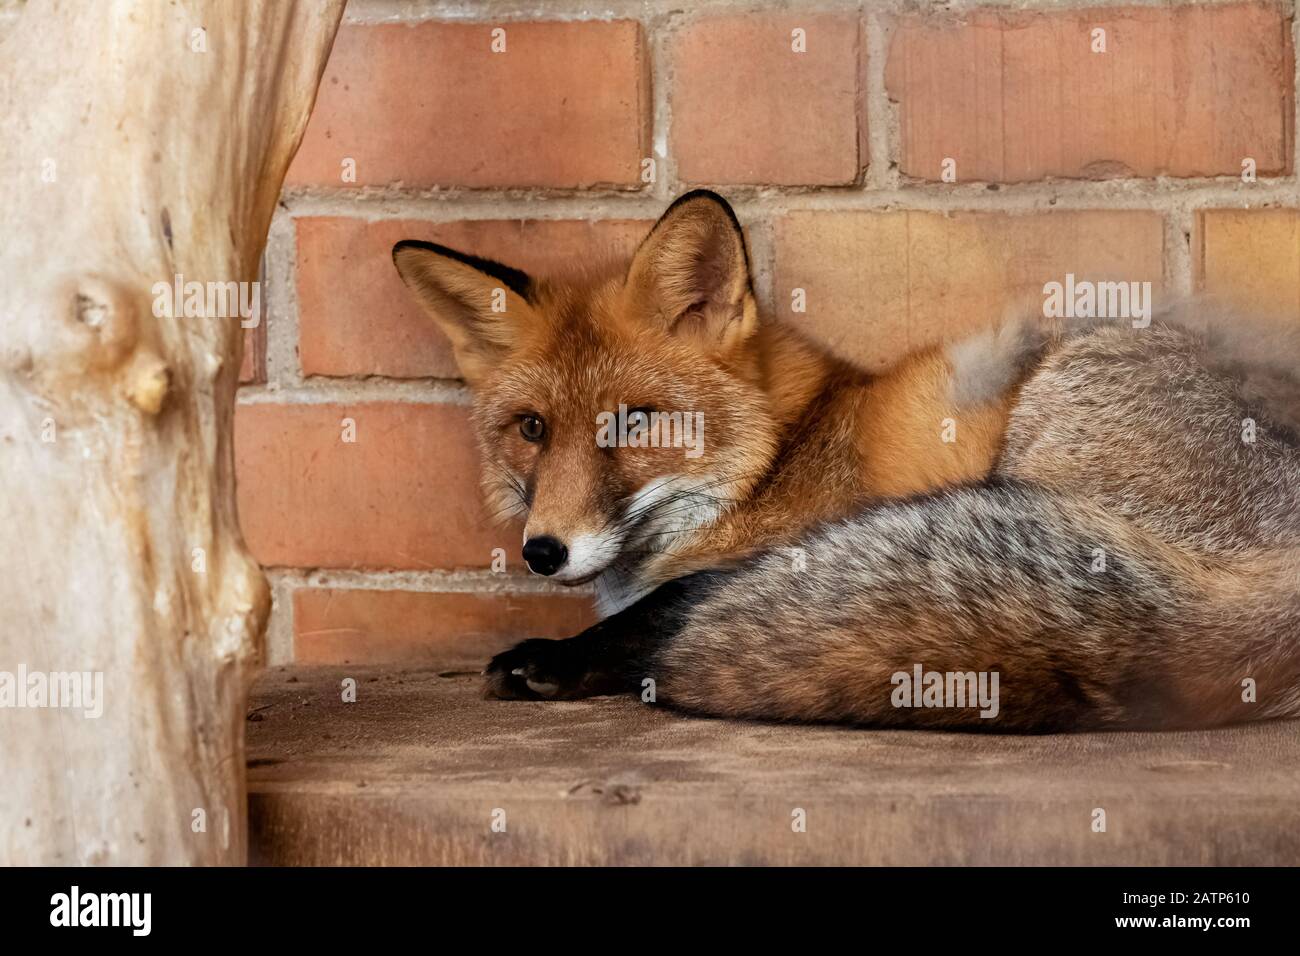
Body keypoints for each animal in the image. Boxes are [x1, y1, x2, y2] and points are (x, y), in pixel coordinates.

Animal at [393, 190, 1300, 732]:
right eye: (532, 428)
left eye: (636, 422)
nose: (544, 552)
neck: (776, 454)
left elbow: (659, 609)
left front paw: (558, 660)